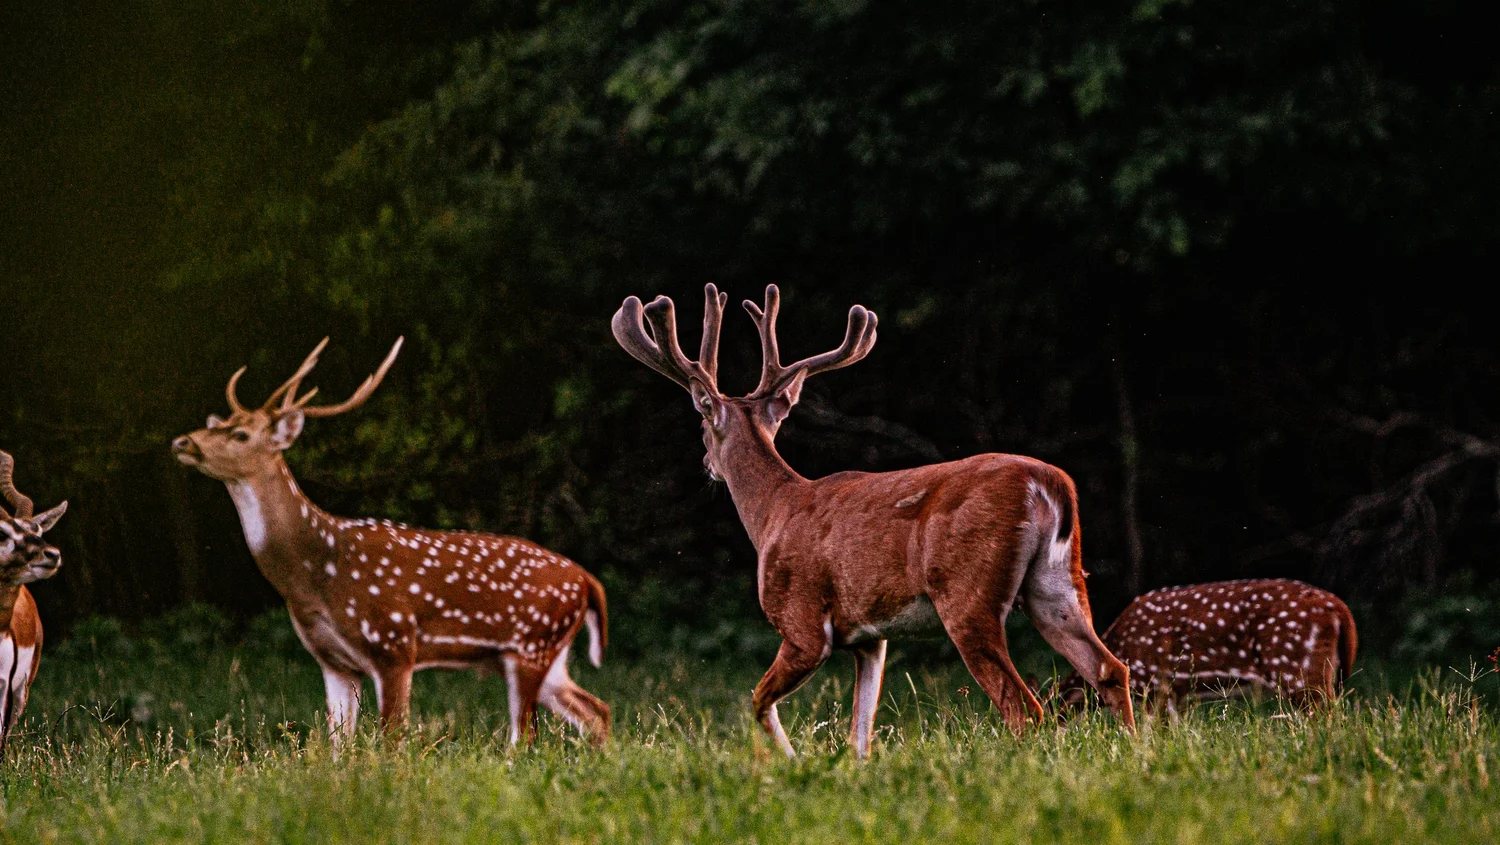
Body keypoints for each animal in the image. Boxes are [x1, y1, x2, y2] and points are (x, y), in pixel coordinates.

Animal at [171, 338, 610, 747]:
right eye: (219, 423)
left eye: (240, 433)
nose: (183, 442)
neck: (315, 574)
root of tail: (589, 582)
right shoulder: (333, 660)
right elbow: (338, 746)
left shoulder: (394, 642)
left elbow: (392, 740)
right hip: (544, 655)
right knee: (596, 711)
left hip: (531, 644)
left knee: (526, 736)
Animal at [612, 284, 1135, 759]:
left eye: (702, 423)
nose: (706, 462)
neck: (774, 511)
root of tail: (1049, 484)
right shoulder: (871, 638)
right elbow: (860, 735)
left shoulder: (802, 622)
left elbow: (759, 702)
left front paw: (792, 764)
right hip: (1057, 582)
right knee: (1111, 669)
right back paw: (1134, 750)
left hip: (967, 592)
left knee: (1023, 707)